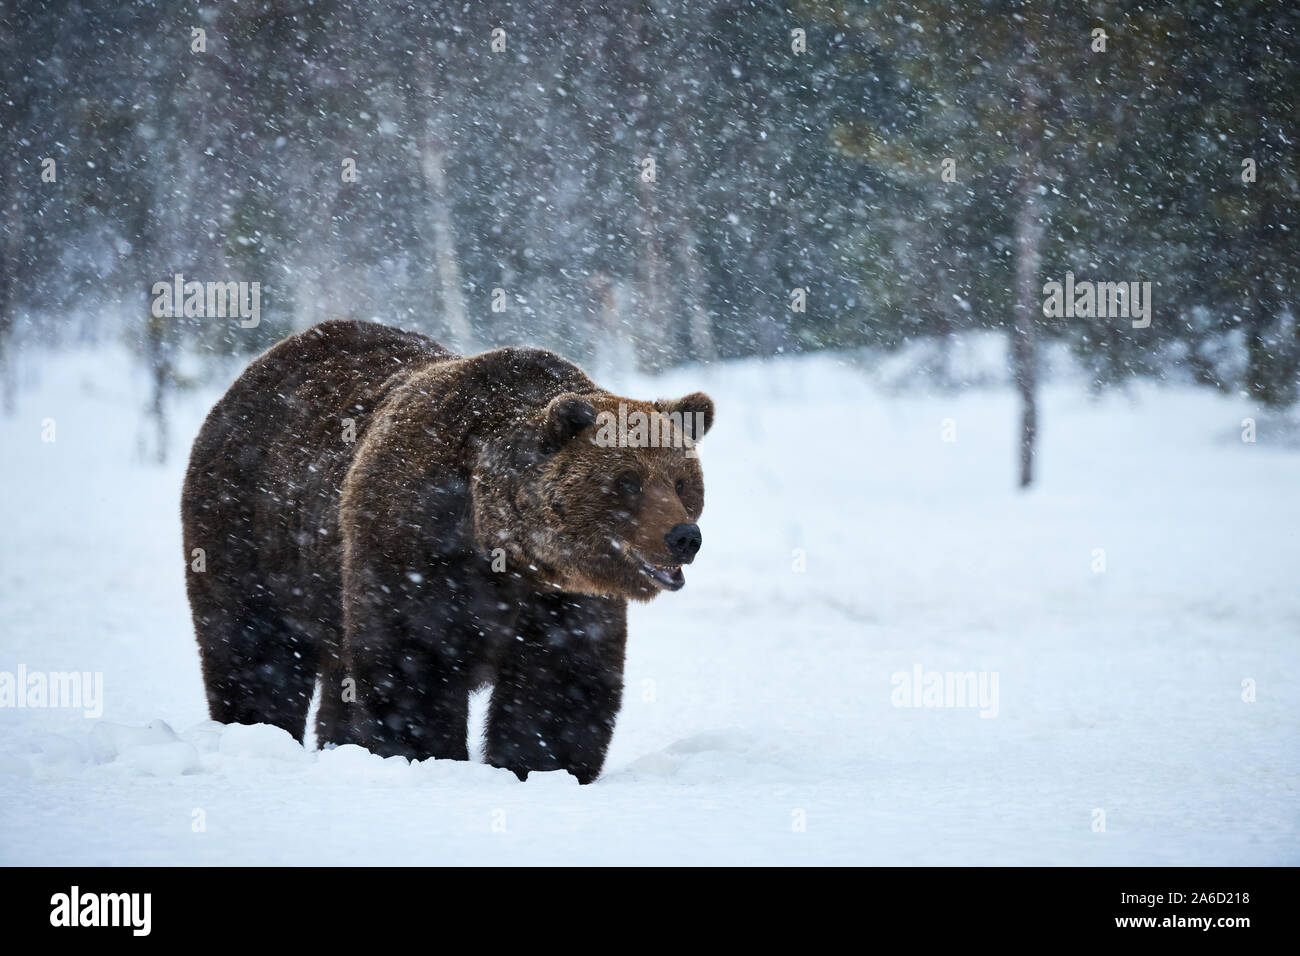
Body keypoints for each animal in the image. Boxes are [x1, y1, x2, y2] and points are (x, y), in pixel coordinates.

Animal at [181, 319, 712, 783]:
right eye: (627, 481)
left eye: (682, 480)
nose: (684, 536)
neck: (499, 546)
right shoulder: (411, 551)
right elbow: (413, 667)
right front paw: (429, 755)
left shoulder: (563, 599)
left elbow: (560, 683)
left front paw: (538, 767)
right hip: (249, 530)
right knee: (252, 645)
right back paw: (254, 729)